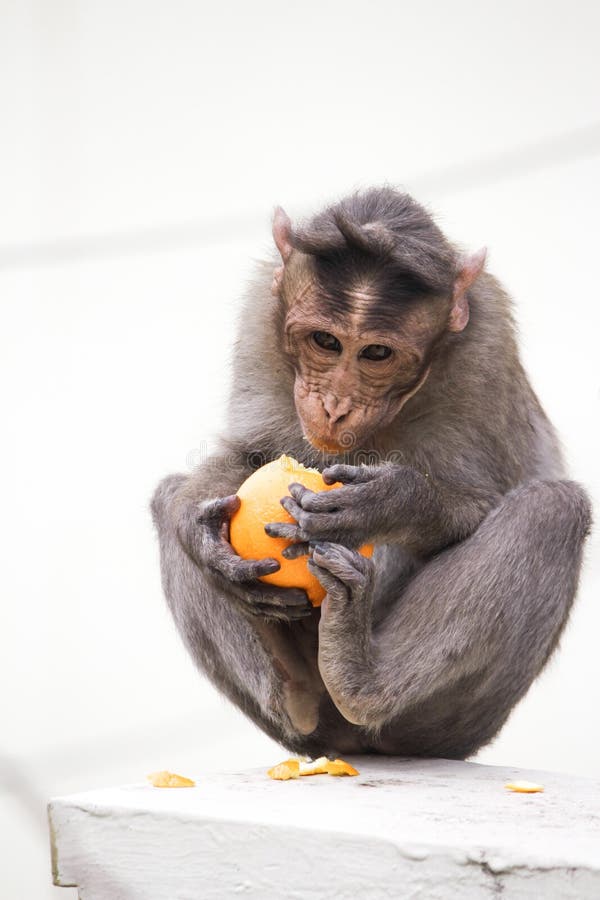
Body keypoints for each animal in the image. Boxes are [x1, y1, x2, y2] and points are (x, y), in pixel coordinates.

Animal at [151, 187, 592, 760]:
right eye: (325, 341)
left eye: (376, 352)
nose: (335, 407)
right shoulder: (258, 321)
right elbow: (248, 454)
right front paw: (204, 537)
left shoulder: (486, 352)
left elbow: (487, 500)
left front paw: (390, 502)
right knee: (166, 498)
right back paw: (295, 685)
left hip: (449, 726)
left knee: (551, 509)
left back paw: (359, 678)